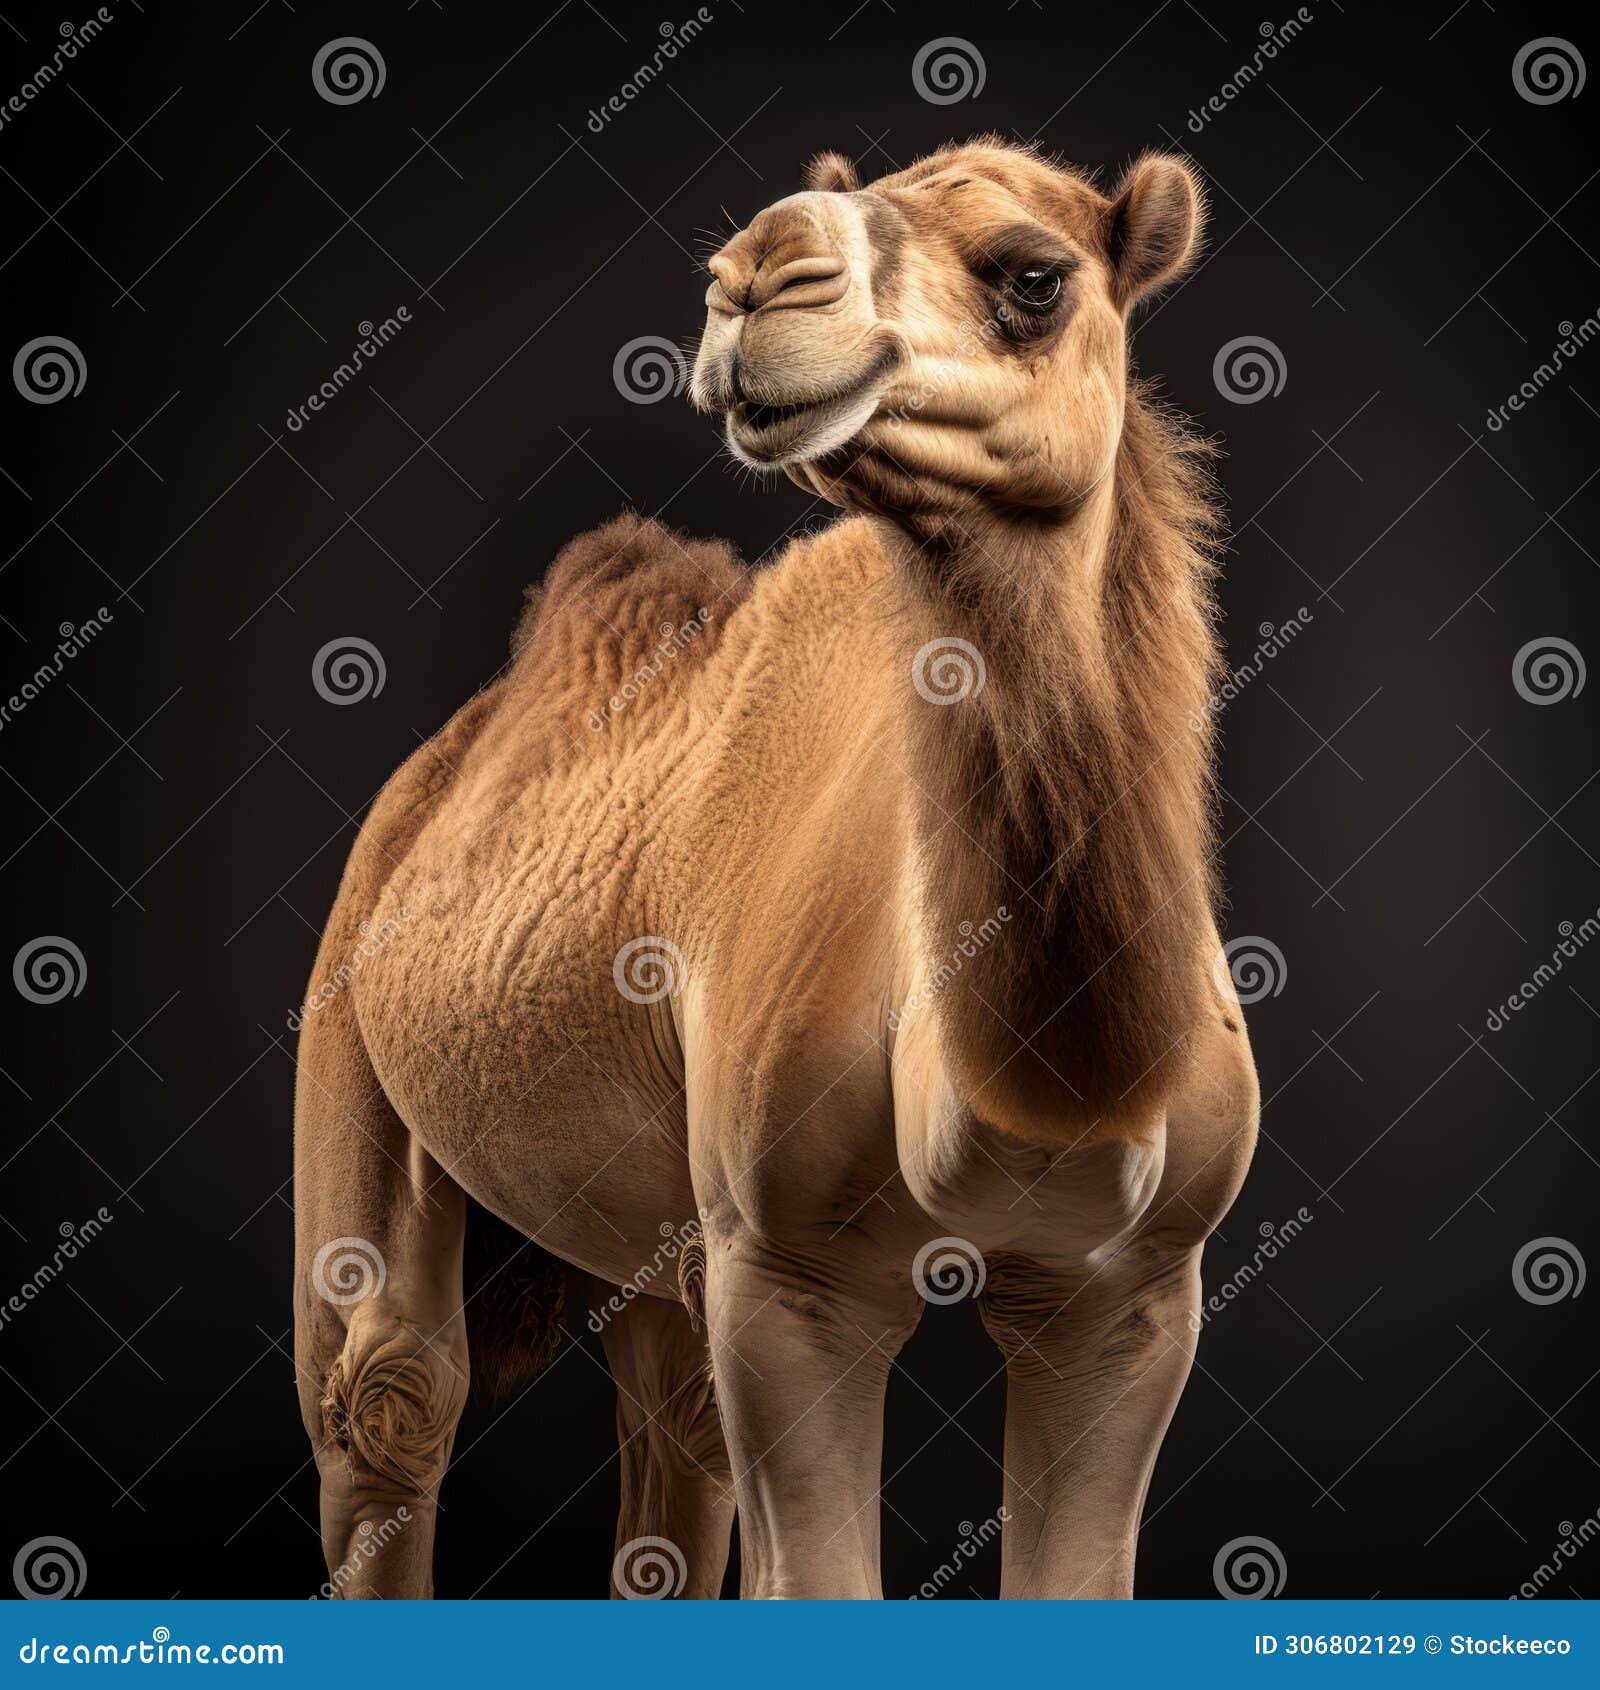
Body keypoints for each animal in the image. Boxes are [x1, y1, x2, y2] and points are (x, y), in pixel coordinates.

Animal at [292, 137, 1260, 1601]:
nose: (755, 277)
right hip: (350, 1023)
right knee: (392, 1386)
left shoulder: (1130, 1293)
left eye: (1034, 276)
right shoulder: (791, 1275)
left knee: (669, 1409)